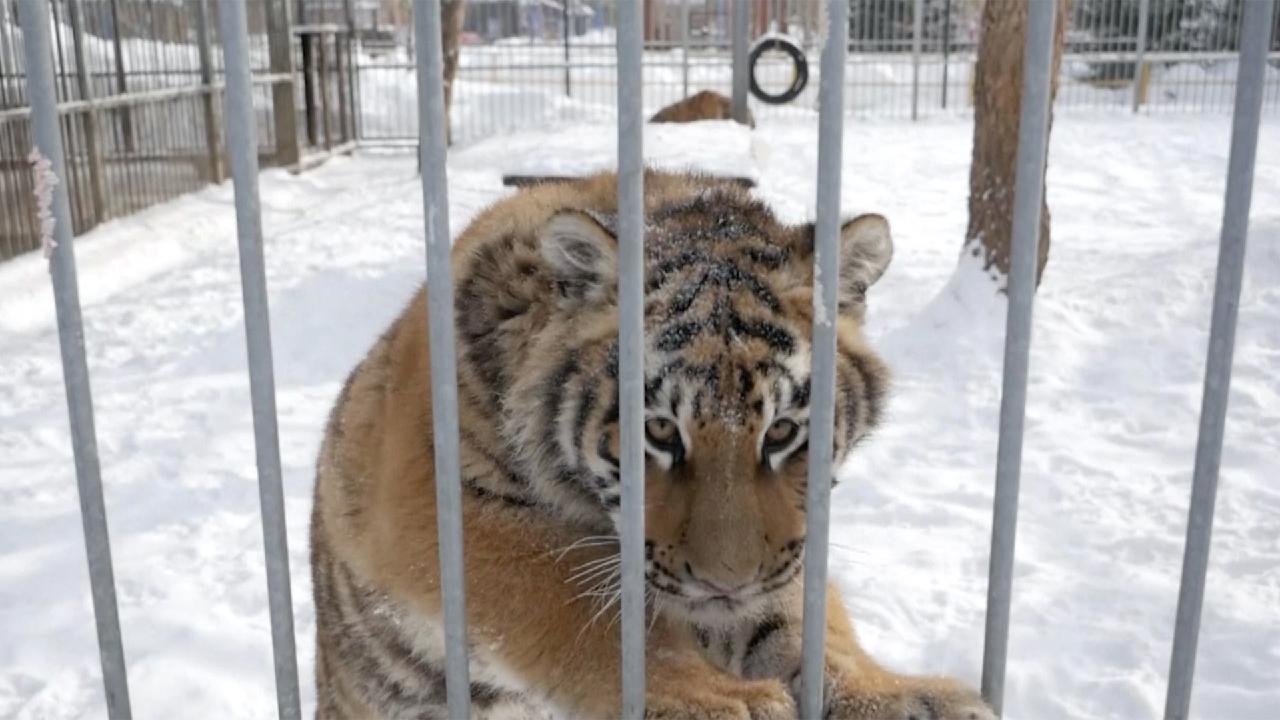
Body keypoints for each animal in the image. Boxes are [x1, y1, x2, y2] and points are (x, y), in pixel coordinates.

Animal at [309, 170, 994, 719]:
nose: (726, 585)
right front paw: (722, 701)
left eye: (781, 432)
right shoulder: (434, 502)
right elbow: (579, 602)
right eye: (660, 430)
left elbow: (804, 613)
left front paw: (899, 697)